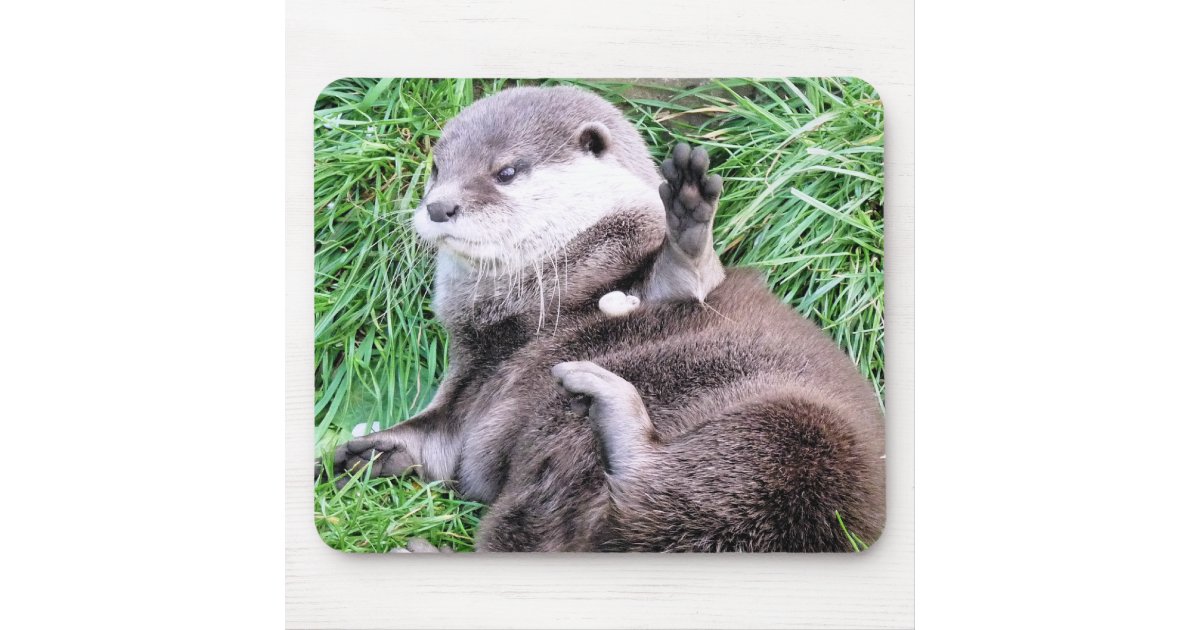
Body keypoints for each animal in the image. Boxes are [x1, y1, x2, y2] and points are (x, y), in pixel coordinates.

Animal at [323, 85, 885, 552]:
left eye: (506, 171)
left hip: (795, 438)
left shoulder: (643, 280)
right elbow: (439, 441)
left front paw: (688, 214)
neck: (529, 314)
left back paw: (614, 410)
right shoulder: (471, 377)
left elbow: (688, 279)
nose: (439, 206)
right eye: (438, 169)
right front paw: (362, 454)